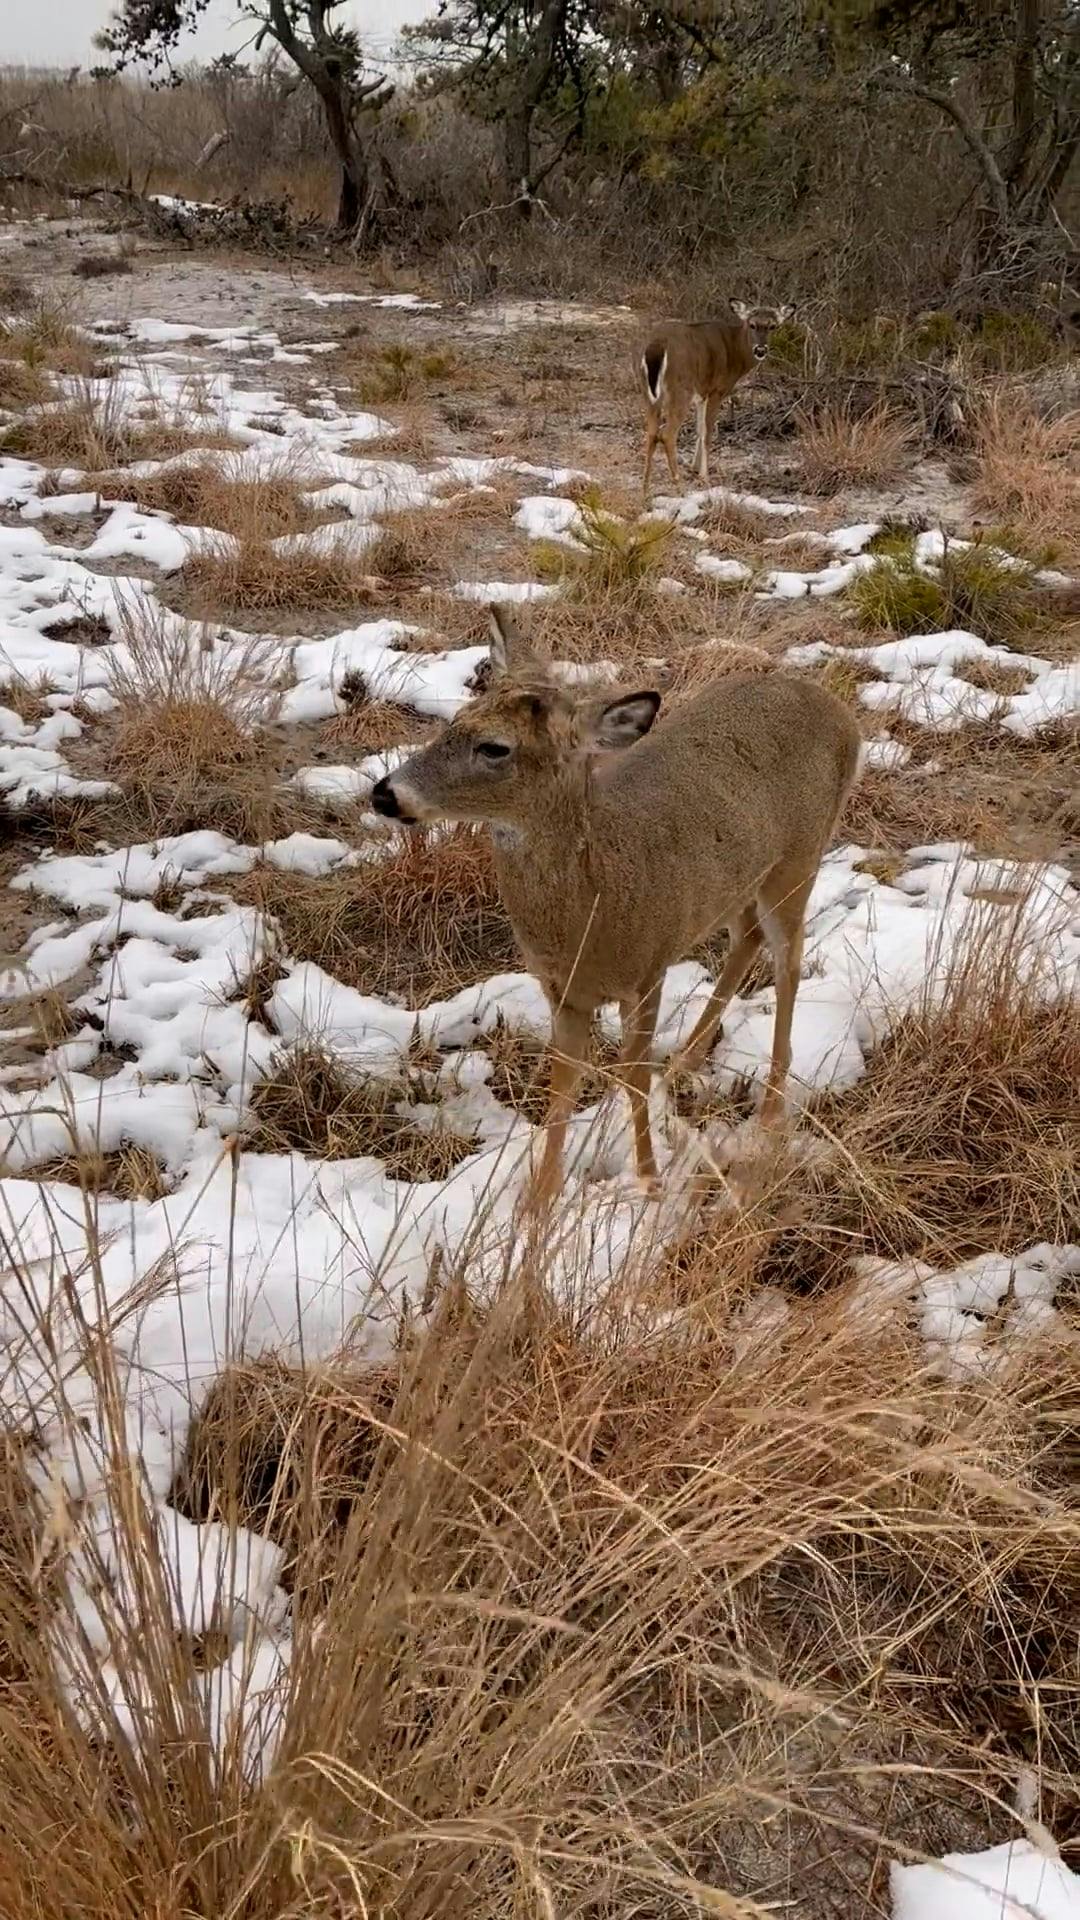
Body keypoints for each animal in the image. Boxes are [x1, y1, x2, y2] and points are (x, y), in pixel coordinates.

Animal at [371, 605, 860, 1210]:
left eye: (494, 747)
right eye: (455, 719)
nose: (385, 794)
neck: (593, 910)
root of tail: (840, 711)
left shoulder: (649, 970)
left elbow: (631, 1074)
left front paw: (649, 1181)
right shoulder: (562, 991)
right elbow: (561, 1086)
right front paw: (540, 1201)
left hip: (800, 858)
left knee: (788, 962)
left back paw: (769, 1111)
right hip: (736, 878)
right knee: (746, 936)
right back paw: (688, 1060)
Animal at [640, 301, 794, 496]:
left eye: (773, 326)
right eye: (752, 324)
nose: (760, 350)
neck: (734, 352)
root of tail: (657, 346)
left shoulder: (702, 393)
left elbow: (699, 429)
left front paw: (695, 468)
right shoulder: (717, 390)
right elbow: (708, 432)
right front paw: (704, 477)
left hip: (650, 394)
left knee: (652, 433)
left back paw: (645, 489)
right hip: (680, 390)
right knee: (667, 434)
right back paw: (680, 488)